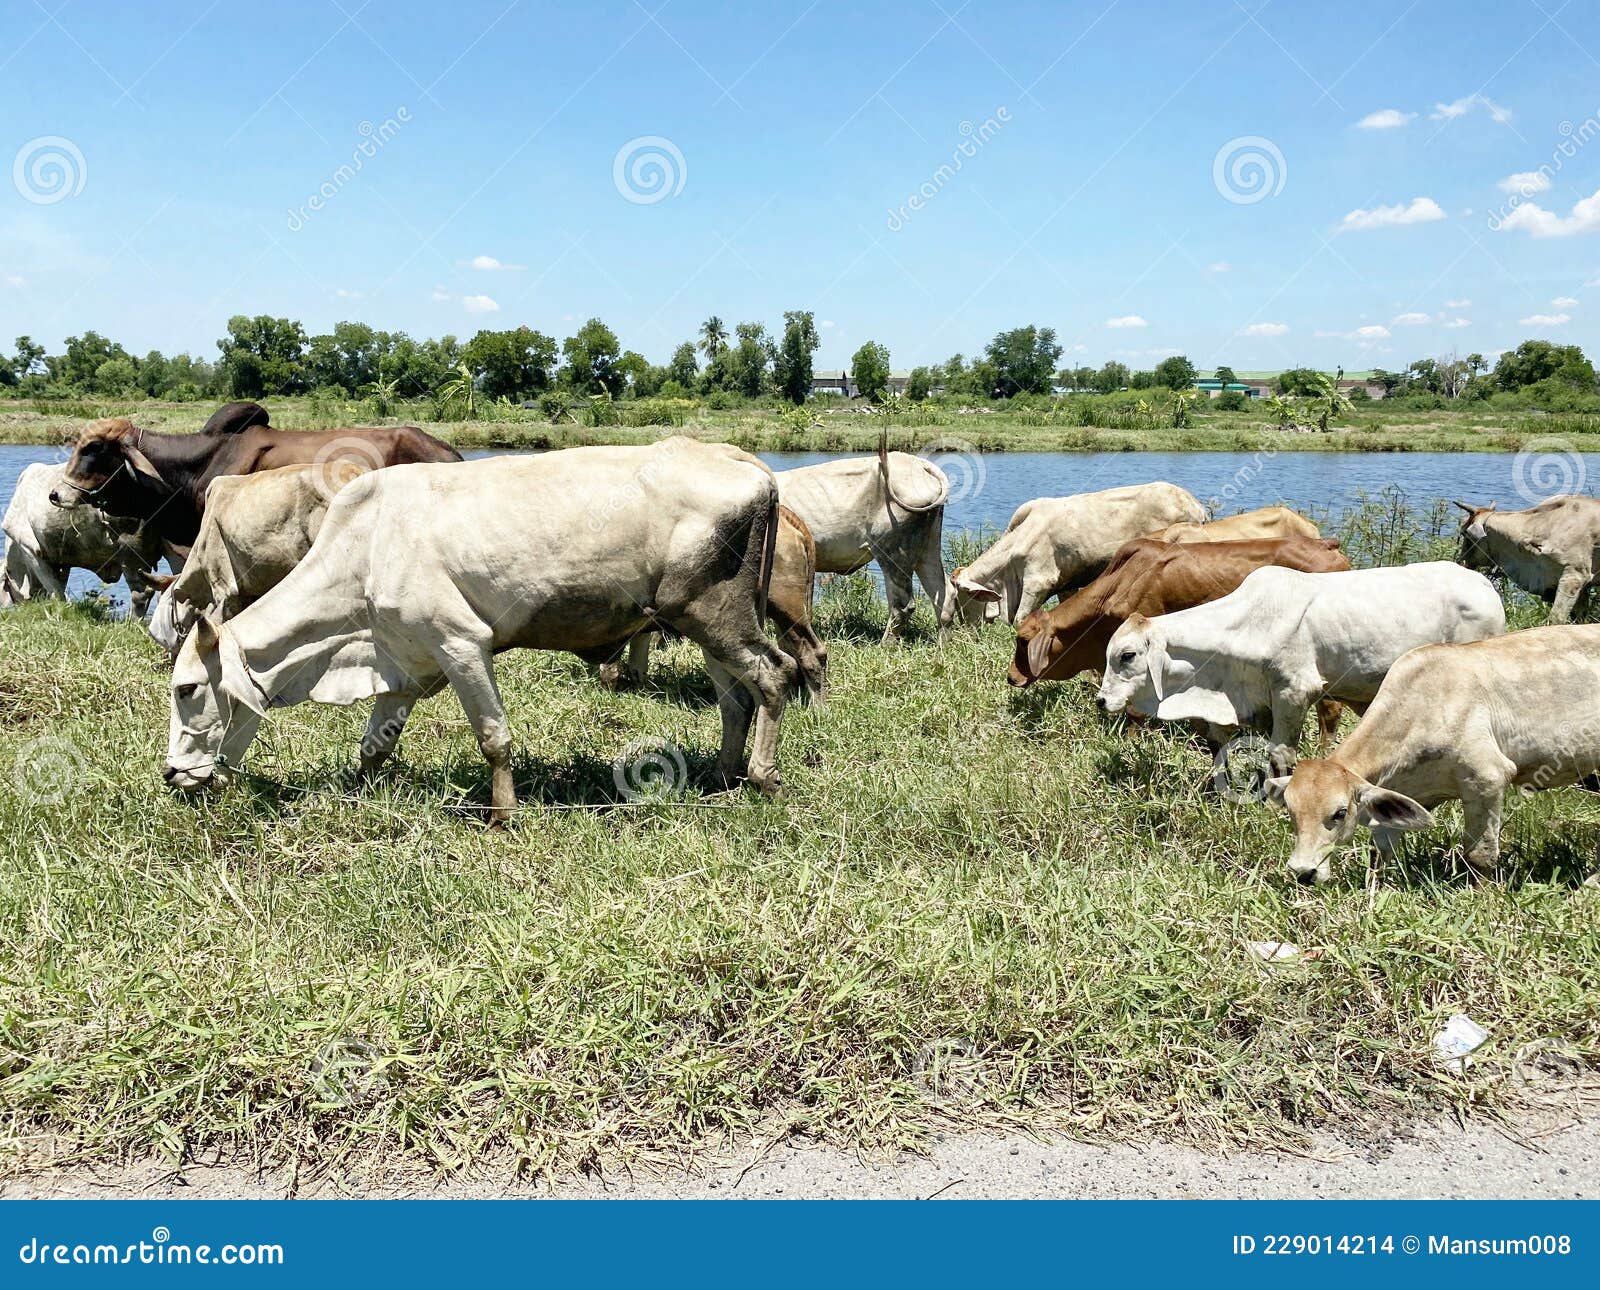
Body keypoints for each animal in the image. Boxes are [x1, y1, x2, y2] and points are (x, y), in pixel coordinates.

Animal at [2, 462, 168, 615]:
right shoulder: (60, 558)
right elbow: (59, 586)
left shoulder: (31, 549)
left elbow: (55, 590)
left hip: (131, 551)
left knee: (142, 593)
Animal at [774, 448, 949, 642]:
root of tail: (920, 464)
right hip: (928, 548)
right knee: (943, 596)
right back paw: (943, 644)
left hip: (893, 551)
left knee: (902, 605)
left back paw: (885, 644)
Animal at [946, 482, 1207, 626]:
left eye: (961, 598)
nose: (967, 630)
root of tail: (1196, 506)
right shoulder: (1065, 584)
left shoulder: (1038, 581)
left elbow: (1020, 618)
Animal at [1265, 625, 1600, 884]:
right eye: (1291, 811)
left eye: (1339, 813)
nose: (1303, 872)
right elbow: (1380, 853)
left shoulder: (1487, 779)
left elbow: (1479, 856)